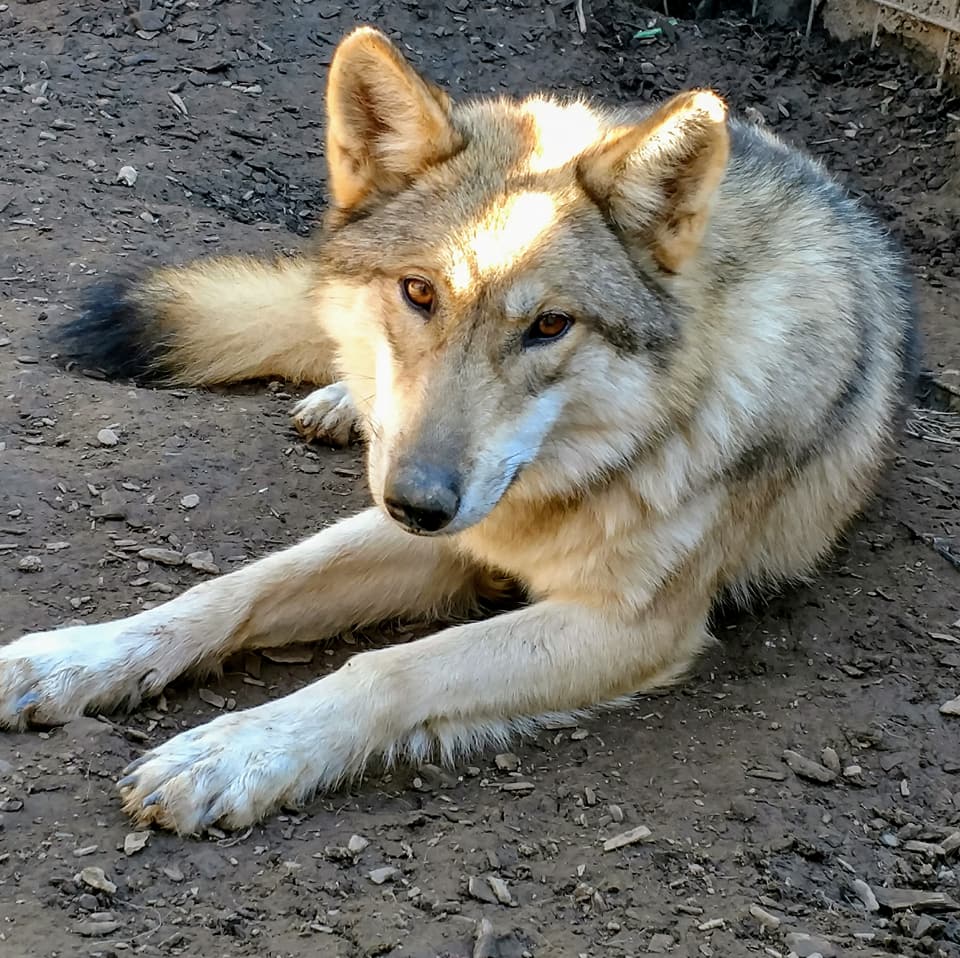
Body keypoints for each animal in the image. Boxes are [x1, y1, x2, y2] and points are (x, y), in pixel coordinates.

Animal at [0, 26, 917, 834]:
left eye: (550, 326)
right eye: (418, 292)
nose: (418, 504)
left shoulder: (629, 623)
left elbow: (387, 667)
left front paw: (235, 752)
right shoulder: (445, 533)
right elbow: (233, 589)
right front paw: (71, 660)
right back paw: (340, 401)